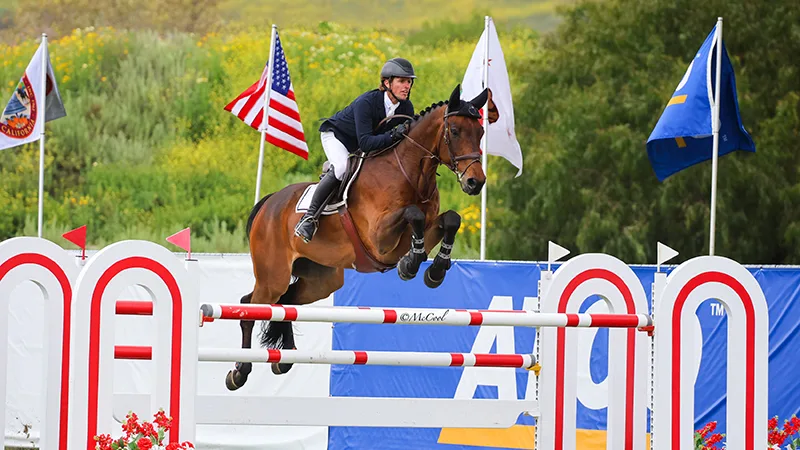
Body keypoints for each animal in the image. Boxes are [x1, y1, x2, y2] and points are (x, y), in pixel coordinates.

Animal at [225, 84, 490, 390]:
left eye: (481, 132)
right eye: (455, 131)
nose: (475, 182)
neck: (411, 173)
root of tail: (268, 203)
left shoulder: (423, 227)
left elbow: (450, 219)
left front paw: (435, 269)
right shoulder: (380, 239)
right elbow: (413, 214)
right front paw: (411, 263)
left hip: (321, 279)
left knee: (285, 302)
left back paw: (284, 359)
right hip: (273, 276)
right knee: (250, 306)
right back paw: (239, 372)